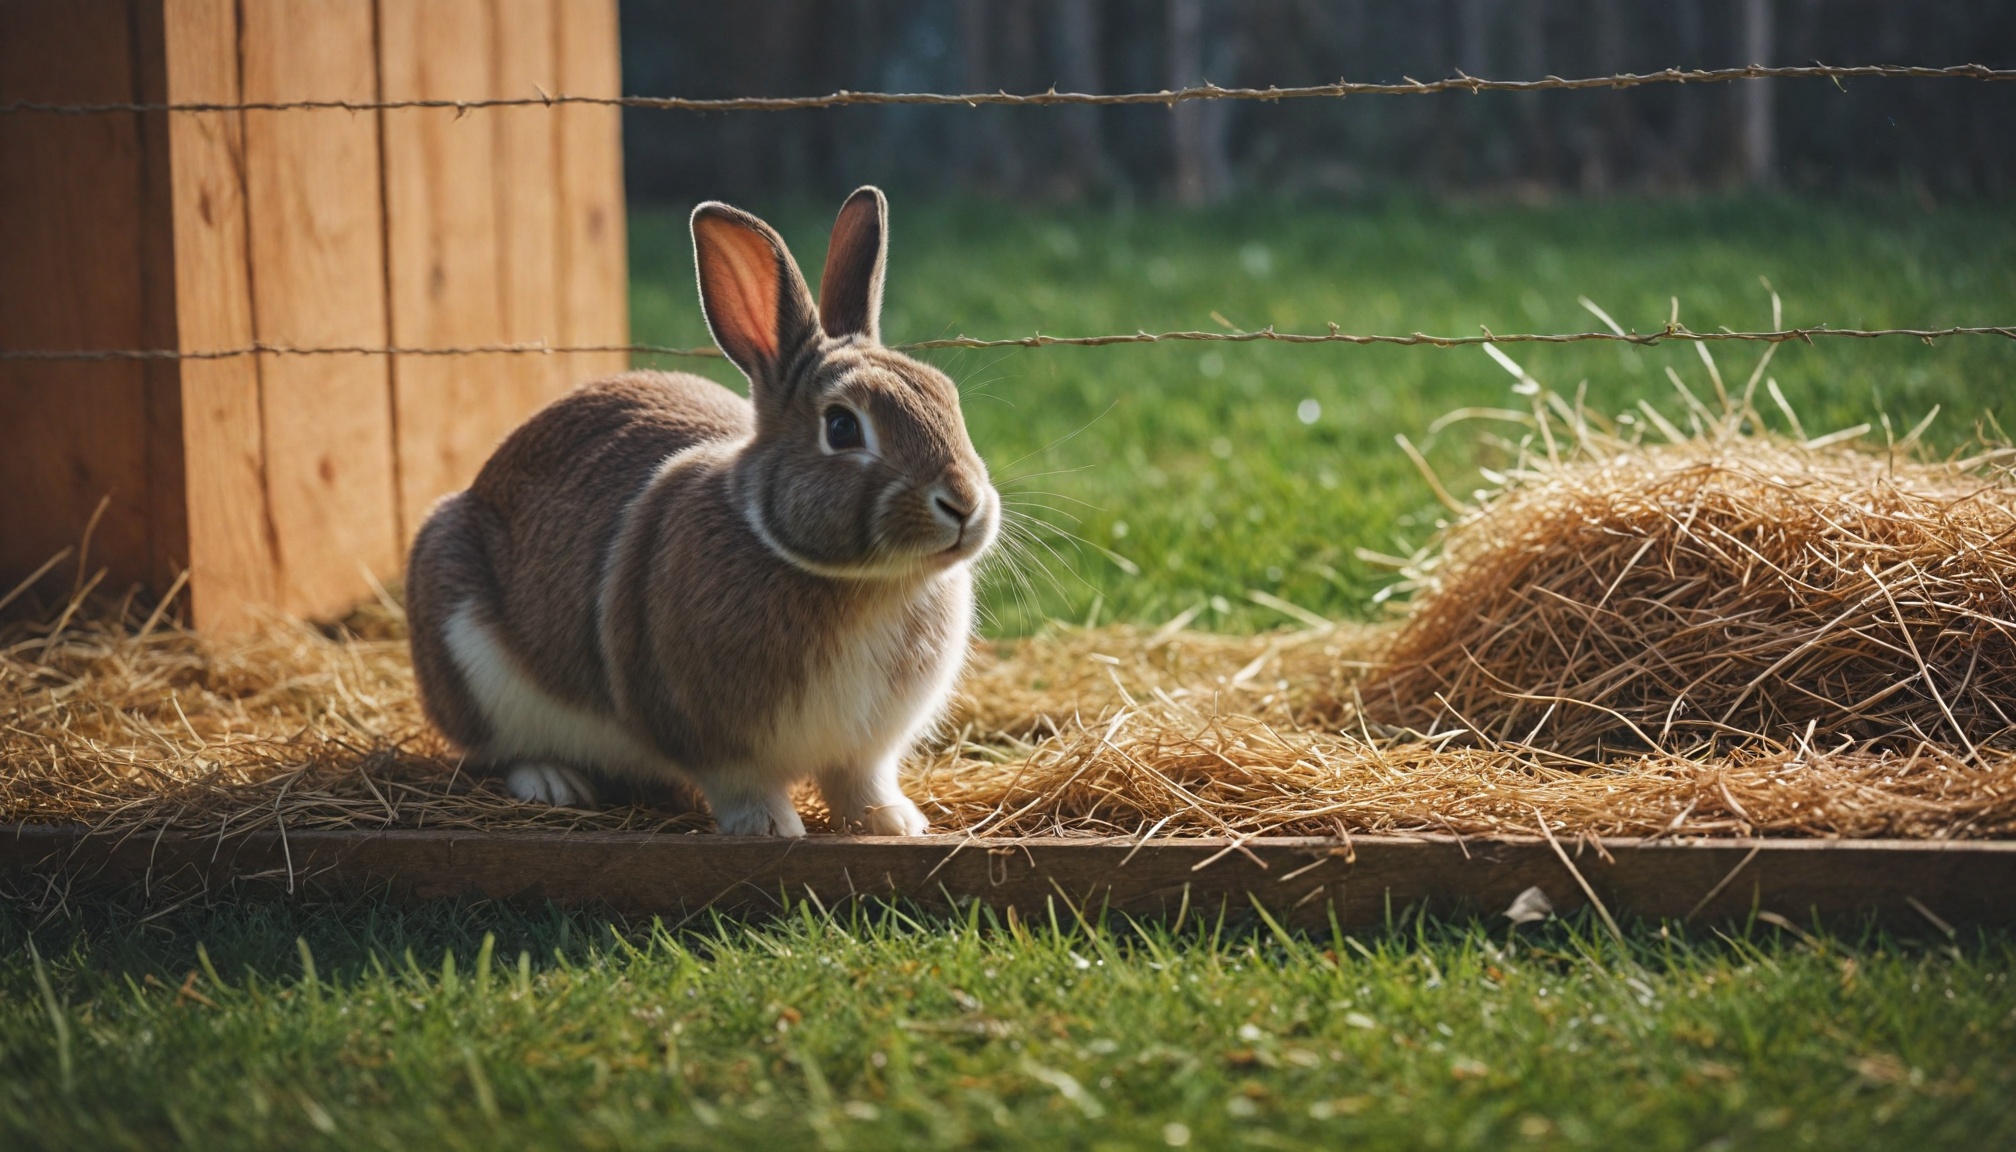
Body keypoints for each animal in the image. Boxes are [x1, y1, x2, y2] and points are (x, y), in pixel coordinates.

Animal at [407, 189, 999, 839]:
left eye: (946, 397)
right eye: (842, 427)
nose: (964, 503)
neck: (864, 583)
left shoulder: (866, 749)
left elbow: (861, 781)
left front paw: (894, 822)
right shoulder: (714, 740)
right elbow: (743, 784)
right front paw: (769, 826)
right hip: (470, 655)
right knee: (499, 748)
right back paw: (553, 783)